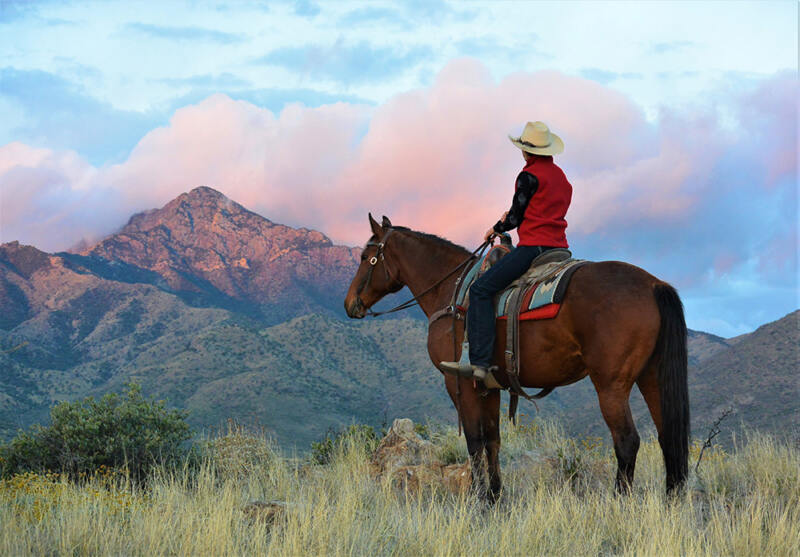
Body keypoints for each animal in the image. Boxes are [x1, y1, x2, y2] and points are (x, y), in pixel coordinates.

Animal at [344, 214, 689, 502]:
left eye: (364, 257)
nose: (350, 304)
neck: (451, 293)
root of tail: (654, 284)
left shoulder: (458, 381)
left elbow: (474, 440)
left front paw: (479, 500)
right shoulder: (489, 385)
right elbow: (493, 440)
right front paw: (495, 496)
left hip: (611, 385)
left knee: (627, 441)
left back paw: (619, 503)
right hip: (652, 377)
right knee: (668, 437)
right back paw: (672, 503)